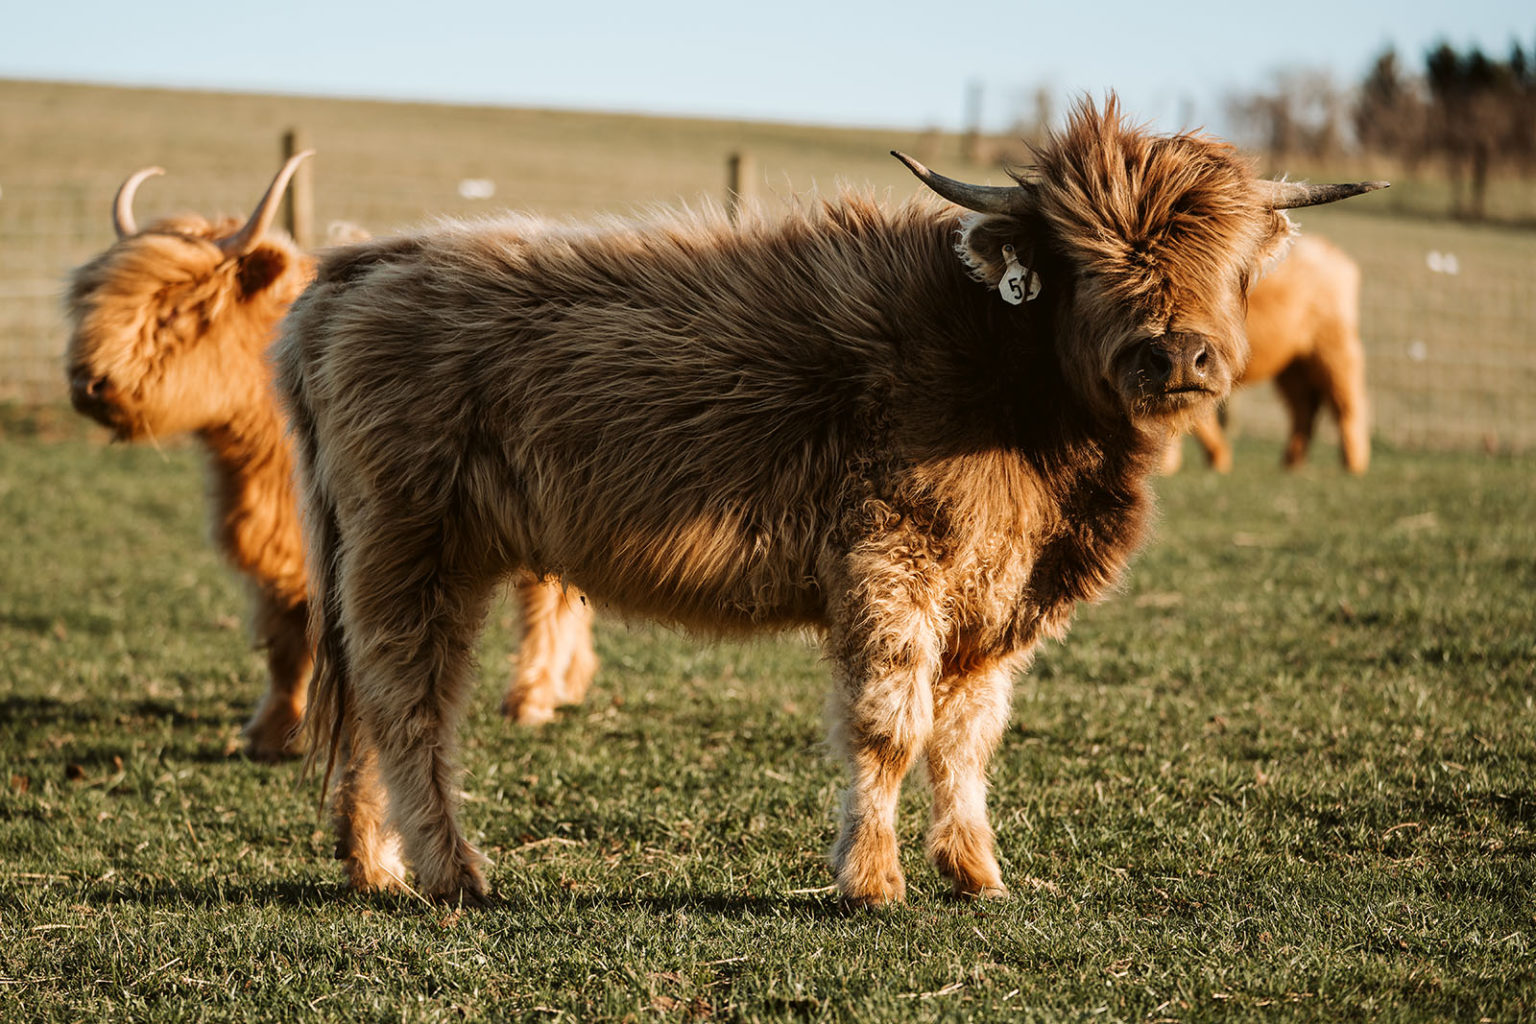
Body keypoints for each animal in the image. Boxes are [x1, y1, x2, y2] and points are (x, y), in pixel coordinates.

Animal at [63, 156, 597, 760]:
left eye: (177, 305)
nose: (87, 383)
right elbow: (285, 632)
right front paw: (273, 729)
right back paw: (568, 683)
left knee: (544, 599)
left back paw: (532, 696)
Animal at [1163, 234, 1369, 474]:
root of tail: (1332, 250)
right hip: (1292, 363)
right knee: (1304, 406)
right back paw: (1292, 462)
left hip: (1332, 348)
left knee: (1346, 402)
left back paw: (1353, 464)